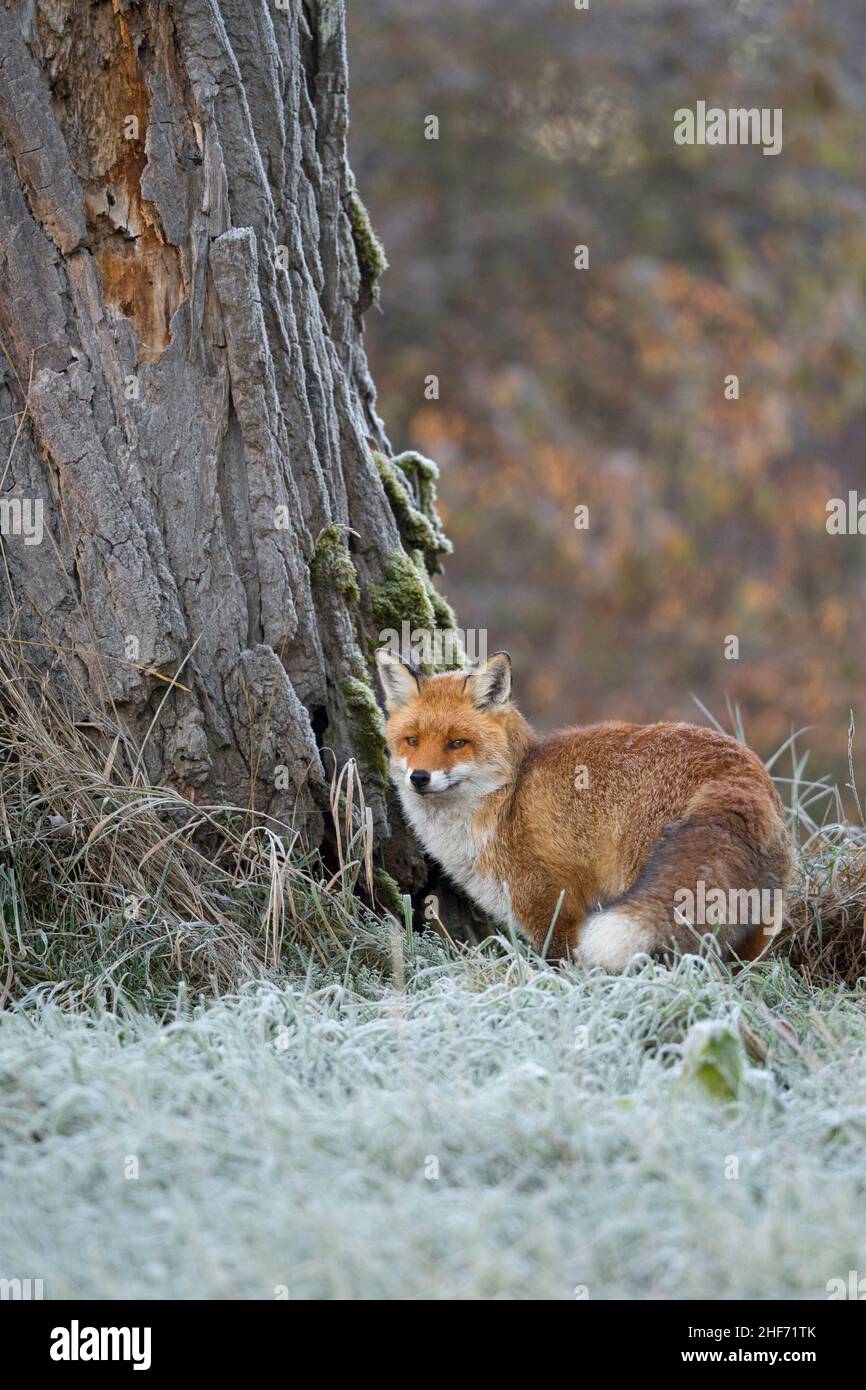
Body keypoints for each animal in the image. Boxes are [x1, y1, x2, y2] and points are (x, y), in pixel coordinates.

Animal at [376, 648, 793, 970]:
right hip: (758, 921)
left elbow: (562, 963)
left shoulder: (551, 903)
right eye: (411, 741)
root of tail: (735, 770)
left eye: (457, 743)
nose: (419, 777)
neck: (506, 798)